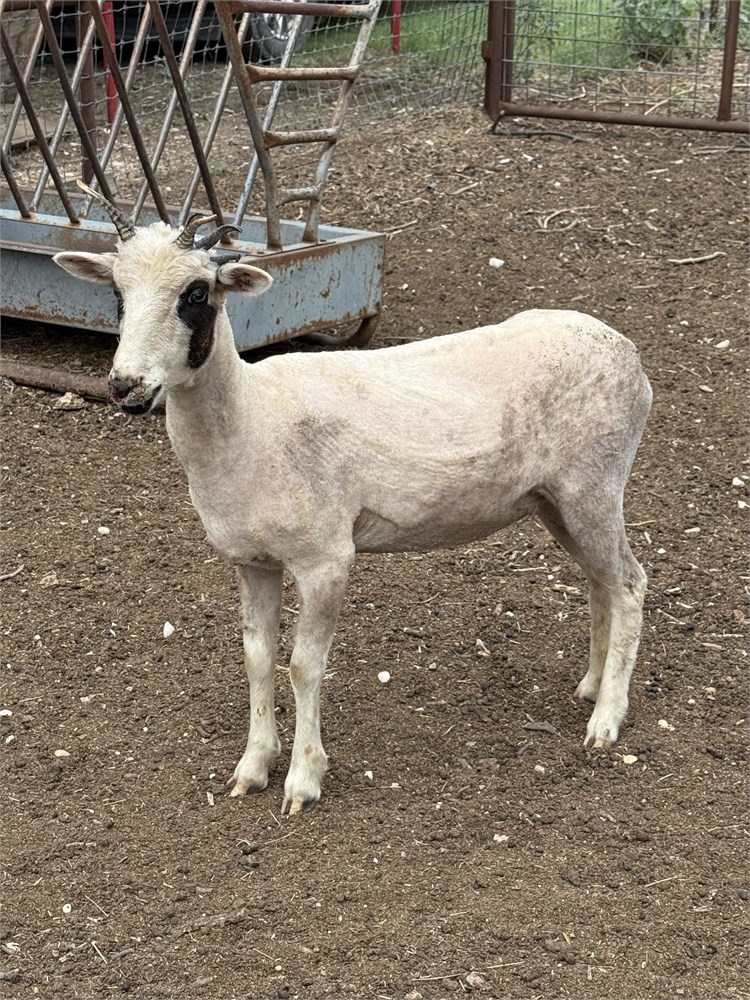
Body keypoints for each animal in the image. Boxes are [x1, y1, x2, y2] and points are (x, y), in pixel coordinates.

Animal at [54, 184, 652, 815]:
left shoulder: (326, 559)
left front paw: (302, 780)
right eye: (116, 292)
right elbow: (257, 658)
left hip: (596, 482)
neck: (250, 418)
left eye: (196, 293)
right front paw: (252, 768)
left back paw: (606, 719)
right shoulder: (251, 560)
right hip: (553, 498)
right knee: (600, 579)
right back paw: (590, 686)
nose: (125, 387)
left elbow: (303, 666)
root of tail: (626, 349)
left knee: (629, 583)